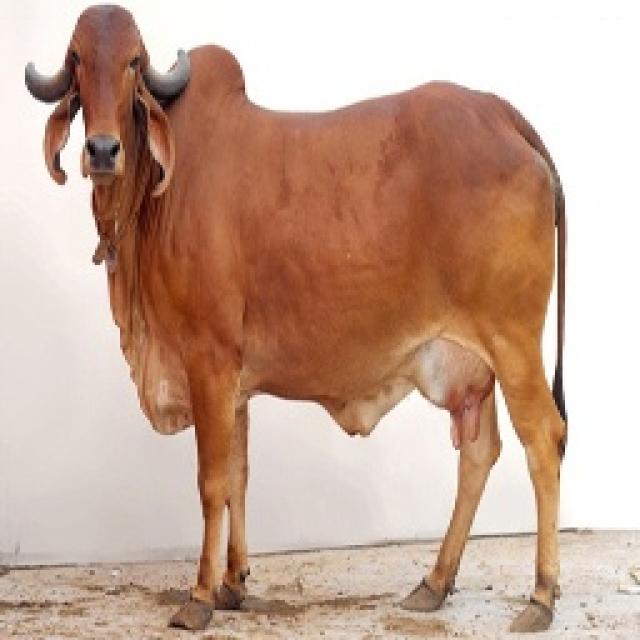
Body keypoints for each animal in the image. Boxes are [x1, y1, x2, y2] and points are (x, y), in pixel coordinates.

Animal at [25, 4, 567, 634]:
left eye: (135, 62)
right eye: (77, 60)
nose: (103, 150)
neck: (152, 198)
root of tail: (501, 114)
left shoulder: (208, 360)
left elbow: (211, 482)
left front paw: (200, 595)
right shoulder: (233, 381)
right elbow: (238, 477)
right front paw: (233, 582)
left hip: (515, 343)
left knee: (543, 441)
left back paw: (541, 595)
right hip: (474, 364)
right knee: (479, 454)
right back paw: (433, 583)